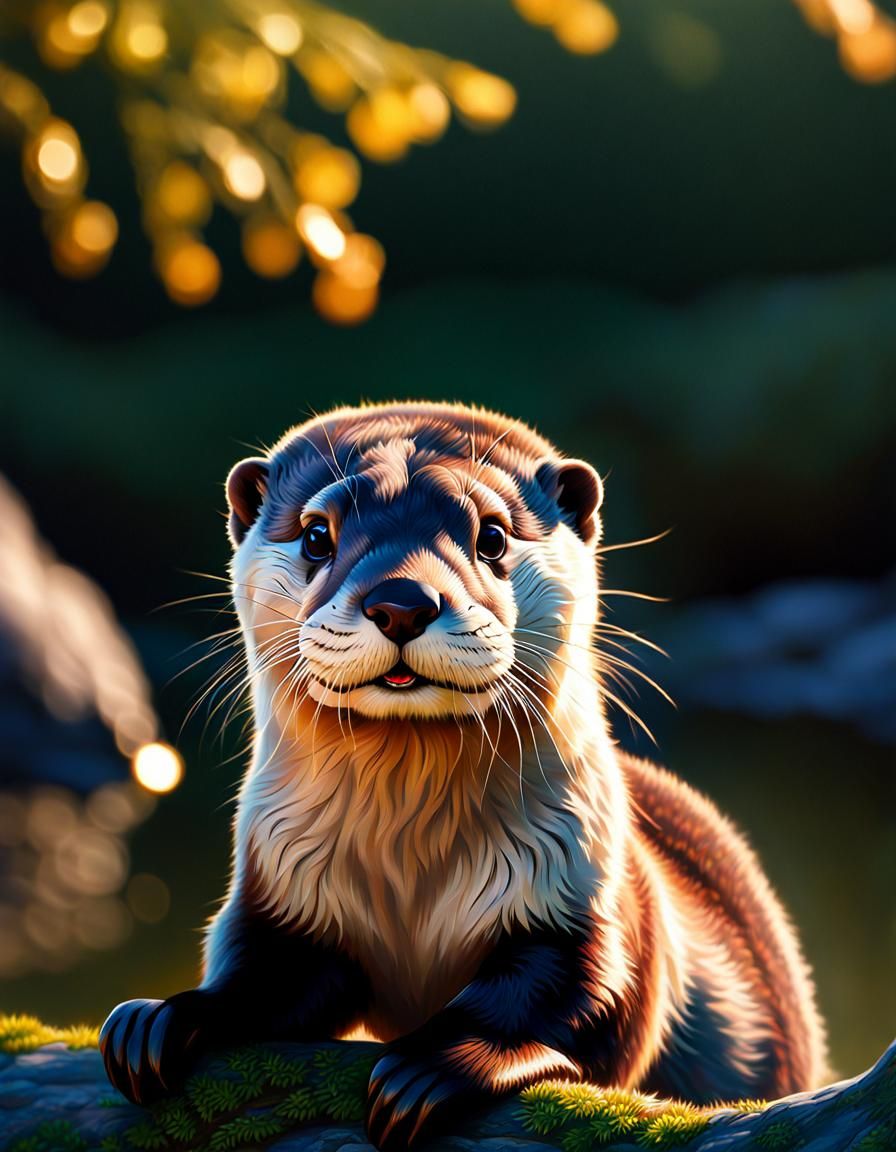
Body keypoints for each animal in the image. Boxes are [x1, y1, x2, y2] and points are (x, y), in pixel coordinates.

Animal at [101, 402, 828, 1150]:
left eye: (494, 535)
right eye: (315, 534)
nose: (401, 601)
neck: (410, 873)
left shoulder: (586, 893)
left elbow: (580, 998)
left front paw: (437, 1067)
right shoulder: (279, 880)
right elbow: (265, 977)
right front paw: (161, 1018)